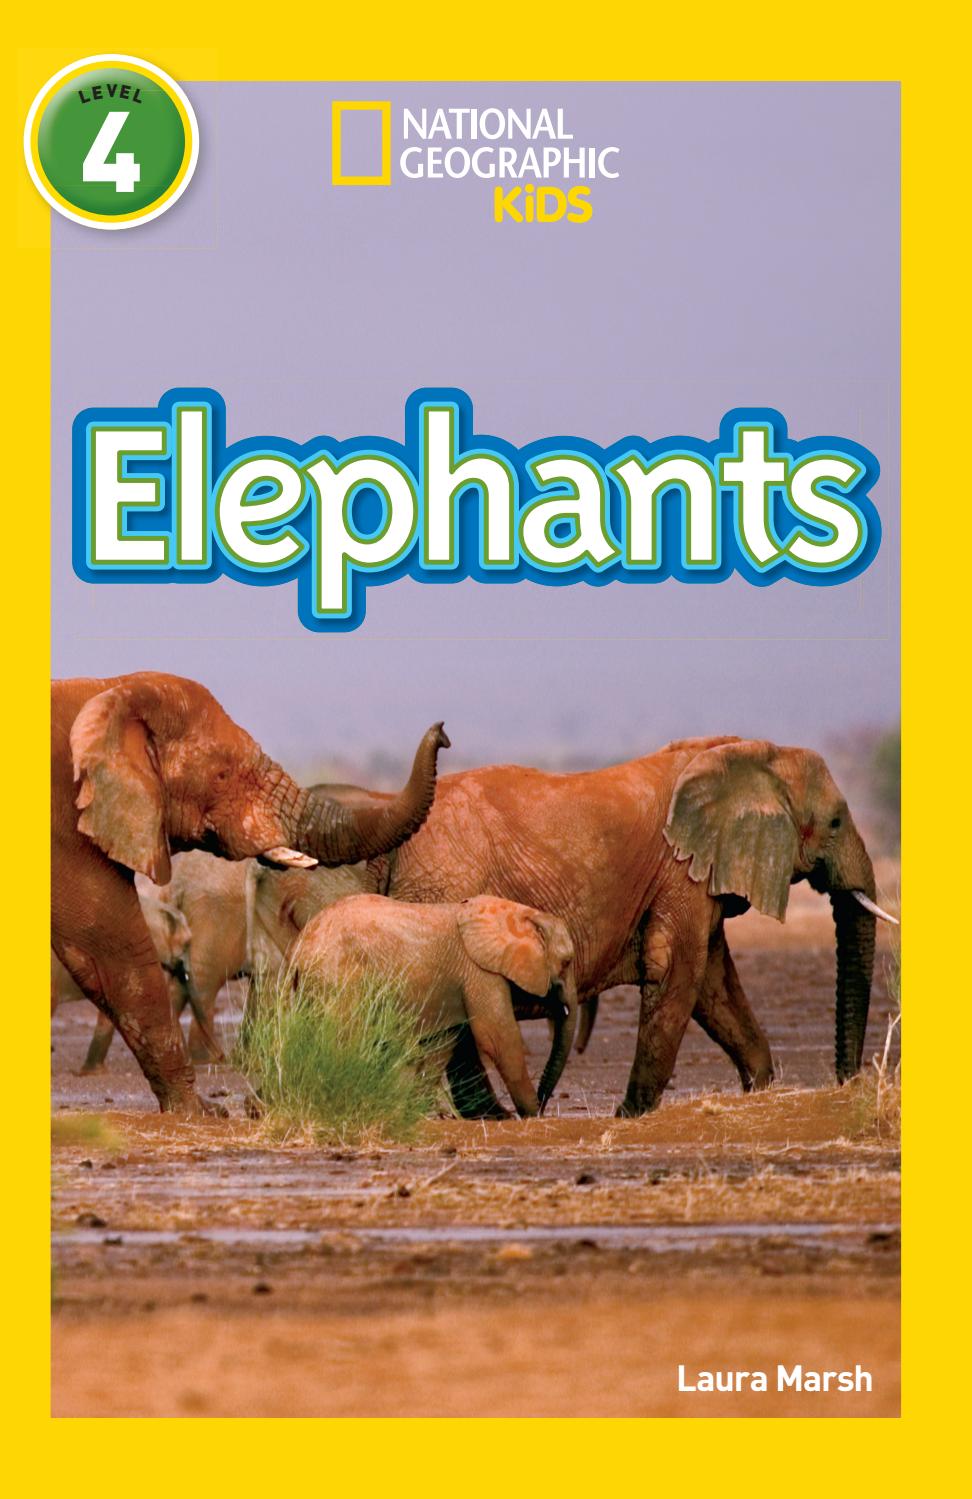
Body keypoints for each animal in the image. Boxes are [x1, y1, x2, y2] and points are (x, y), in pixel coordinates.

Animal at [51, 671, 449, 1113]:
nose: (442, 732)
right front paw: (201, 1113)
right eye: (223, 775)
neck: (107, 689)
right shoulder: (67, 826)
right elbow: (111, 946)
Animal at [290, 894, 577, 1117]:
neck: (521, 912)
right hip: (338, 976)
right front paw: (531, 1115)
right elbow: (497, 1037)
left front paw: (417, 1111)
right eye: (566, 963)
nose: (543, 1103)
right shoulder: (480, 971)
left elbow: (441, 1043)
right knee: (346, 1036)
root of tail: (299, 949)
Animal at [376, 736, 897, 1116]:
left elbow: (714, 985)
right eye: (835, 822)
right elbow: (679, 971)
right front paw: (631, 1115)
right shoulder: (680, 872)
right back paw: (498, 1117)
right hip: (443, 887)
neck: (749, 752)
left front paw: (762, 1088)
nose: (847, 1082)